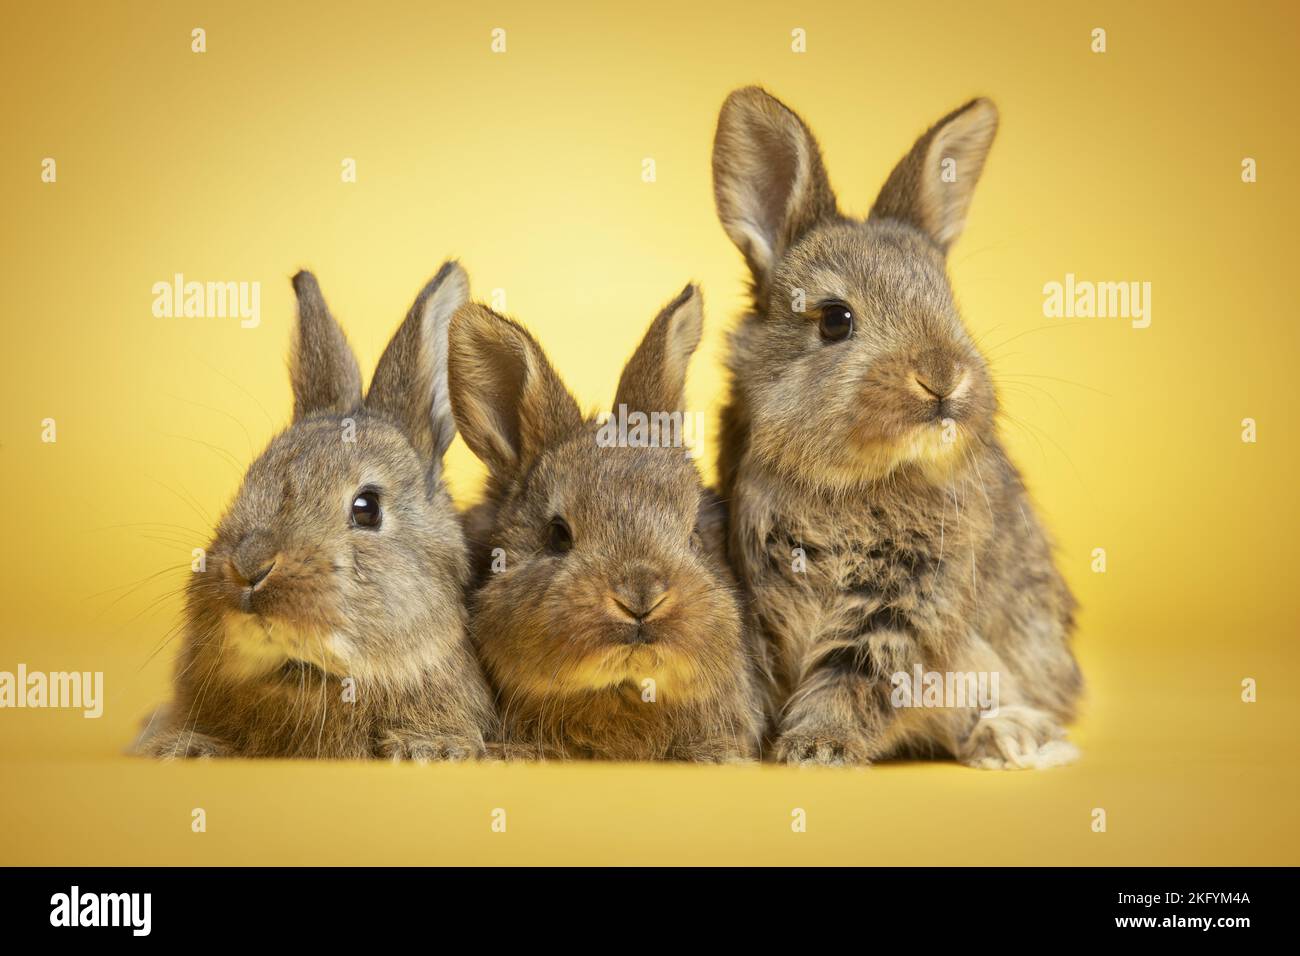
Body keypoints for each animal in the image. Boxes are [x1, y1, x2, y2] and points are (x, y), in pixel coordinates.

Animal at [709, 86, 1083, 769]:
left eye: (949, 305)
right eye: (835, 319)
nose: (943, 378)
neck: (851, 479)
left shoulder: (905, 603)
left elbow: (858, 673)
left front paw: (816, 747)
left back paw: (1013, 739)